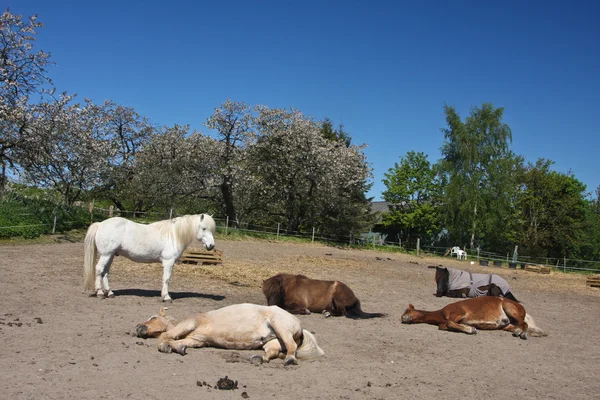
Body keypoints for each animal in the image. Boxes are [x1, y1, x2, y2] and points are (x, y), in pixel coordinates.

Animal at [83, 214, 217, 302]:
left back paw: (110, 293)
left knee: (105, 272)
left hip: (111, 255)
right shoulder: (168, 262)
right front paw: (166, 297)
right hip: (106, 254)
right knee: (99, 269)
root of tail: (100, 224)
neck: (174, 235)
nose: (211, 246)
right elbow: (166, 279)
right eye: (204, 228)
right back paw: (100, 293)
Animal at [134, 304, 326, 366]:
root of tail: (299, 326)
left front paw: (165, 346)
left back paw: (289, 360)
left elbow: (165, 336)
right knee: (273, 352)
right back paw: (258, 359)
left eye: (152, 317)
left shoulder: (188, 325)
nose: (137, 327)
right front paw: (178, 348)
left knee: (290, 349)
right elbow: (182, 343)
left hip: (281, 328)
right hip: (273, 342)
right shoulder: (197, 340)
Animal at [400, 296, 548, 340]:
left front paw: (471, 329)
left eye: (408, 311)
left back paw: (522, 334)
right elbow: (445, 326)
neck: (441, 313)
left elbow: (449, 323)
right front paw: (469, 328)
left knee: (524, 324)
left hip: (509, 308)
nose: (403, 318)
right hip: (507, 325)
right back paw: (519, 332)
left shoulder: (458, 314)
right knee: (520, 325)